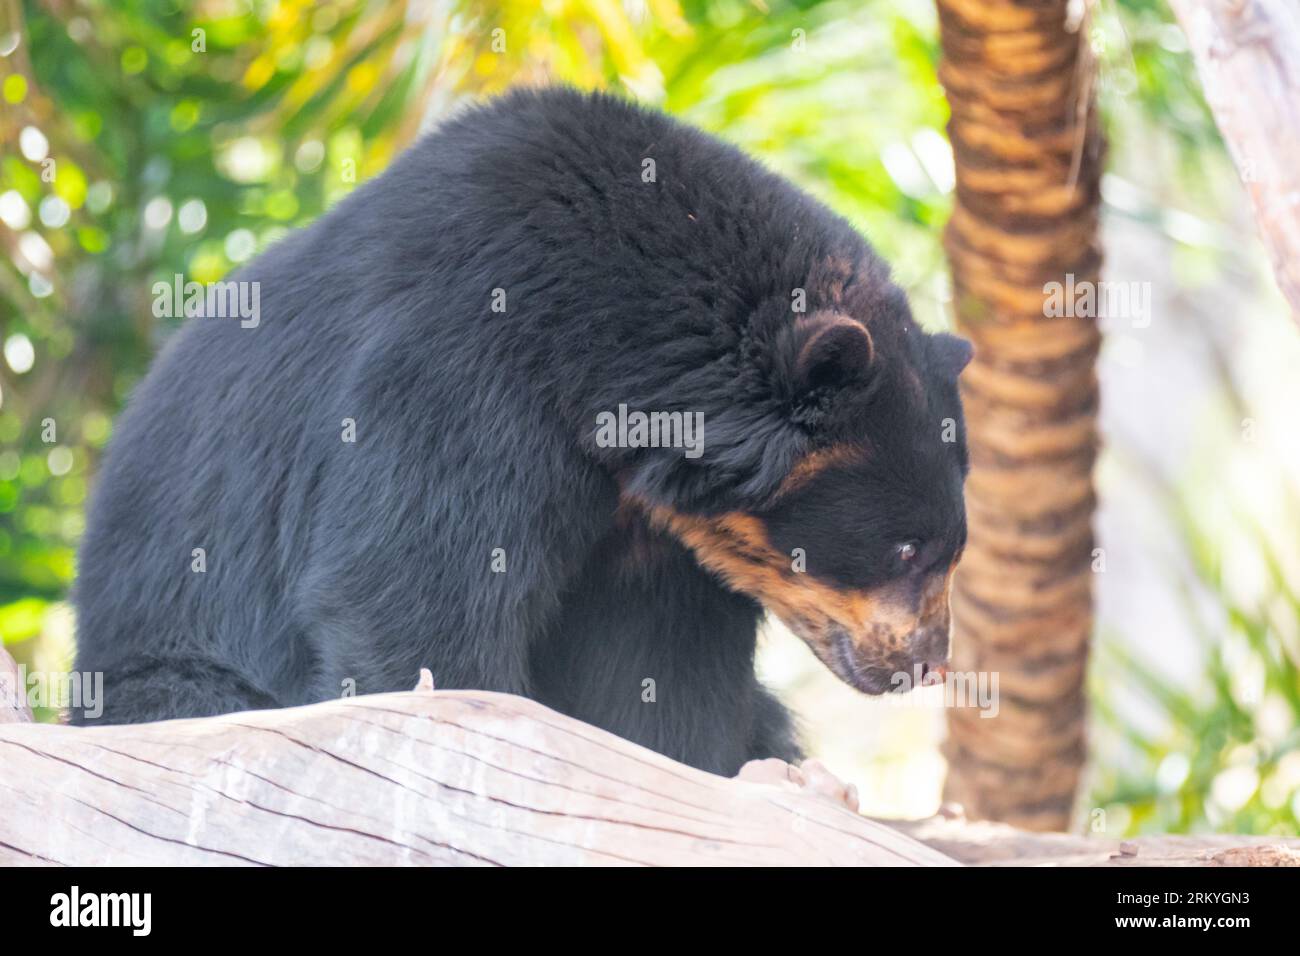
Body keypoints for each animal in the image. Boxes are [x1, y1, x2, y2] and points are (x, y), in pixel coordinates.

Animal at [70, 87, 971, 781]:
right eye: (904, 550)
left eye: (949, 551)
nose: (927, 662)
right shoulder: (461, 362)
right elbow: (411, 592)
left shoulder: (664, 538)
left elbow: (660, 667)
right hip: (170, 670)